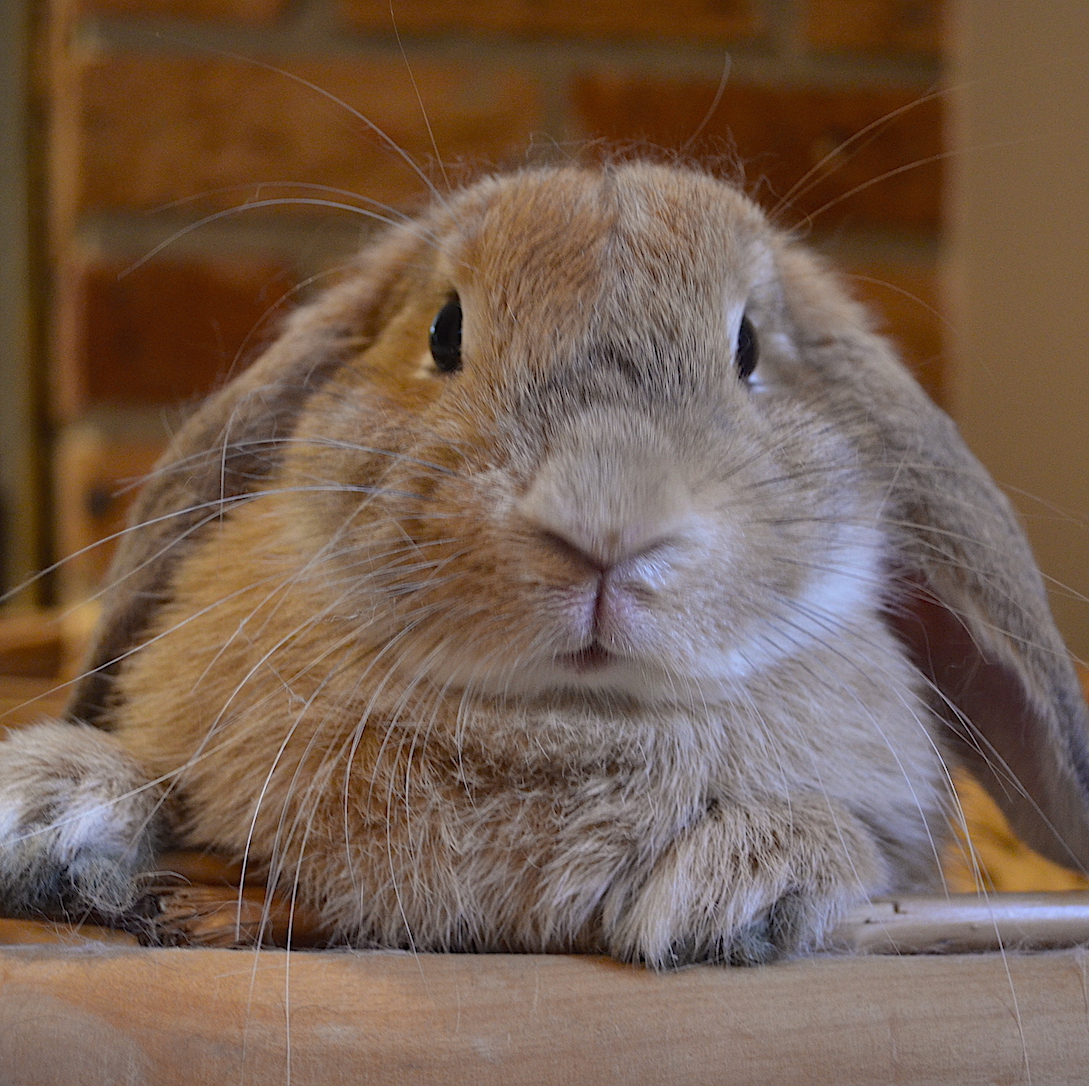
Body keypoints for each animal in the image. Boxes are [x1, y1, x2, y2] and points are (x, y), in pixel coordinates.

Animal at [2, 160, 1088, 967]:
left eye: (748, 348)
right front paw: (49, 800)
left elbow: (851, 847)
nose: (606, 526)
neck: (559, 719)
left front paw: (735, 877)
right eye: (444, 330)